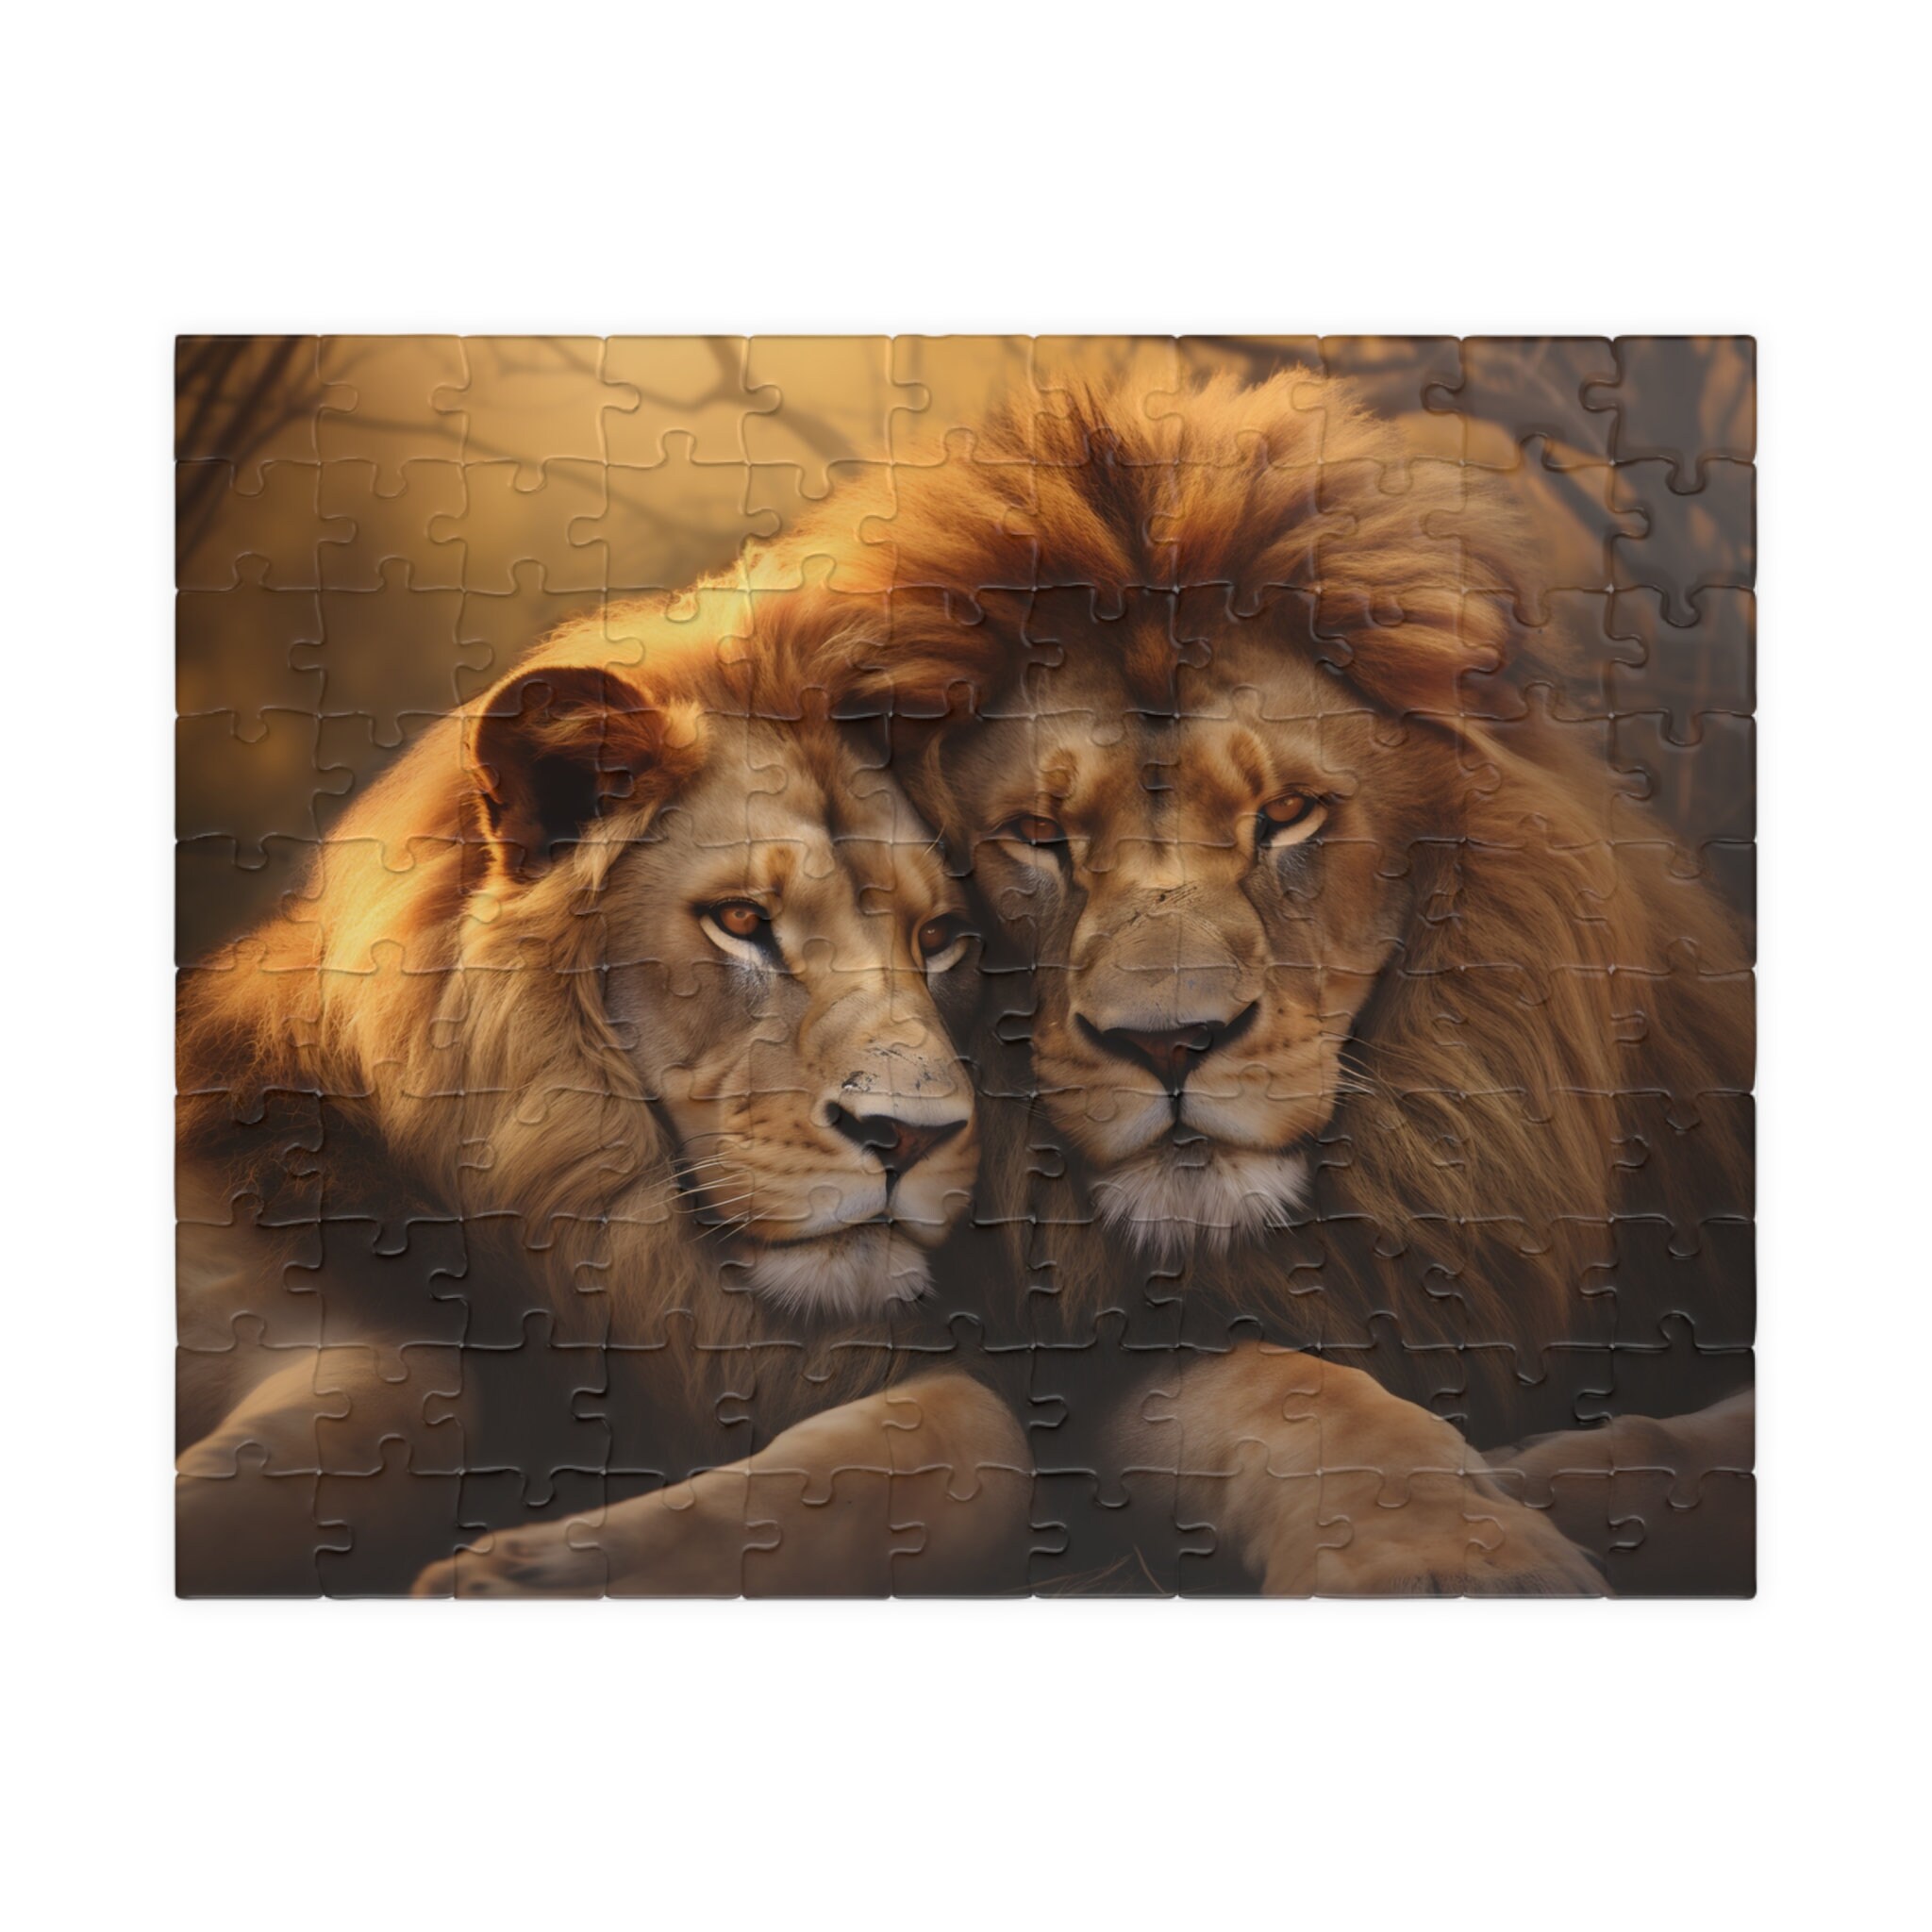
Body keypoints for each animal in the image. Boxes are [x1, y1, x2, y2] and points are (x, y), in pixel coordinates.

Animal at [176, 589, 1028, 1596]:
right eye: (741, 920)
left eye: (941, 937)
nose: (911, 1136)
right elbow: (415, 1395)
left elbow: (985, 1433)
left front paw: (527, 1571)